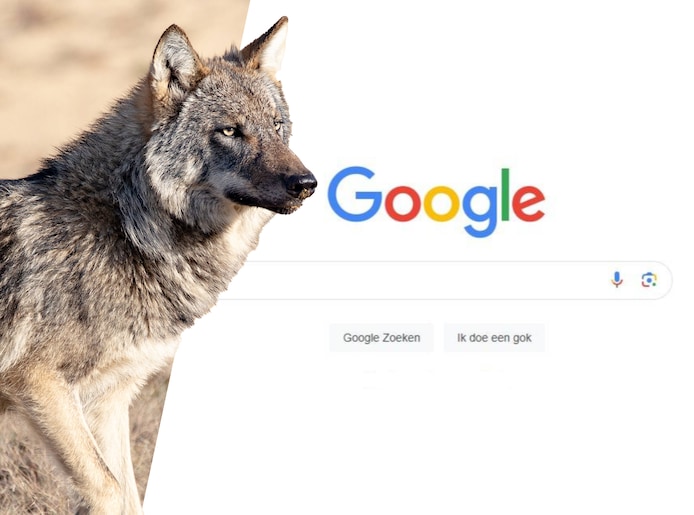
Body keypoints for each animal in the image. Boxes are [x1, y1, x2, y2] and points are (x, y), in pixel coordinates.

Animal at [0, 16, 315, 514]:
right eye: (230, 131)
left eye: (277, 125)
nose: (306, 183)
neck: (124, 226)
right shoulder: (38, 383)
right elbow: (109, 490)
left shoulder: (108, 398)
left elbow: (130, 496)